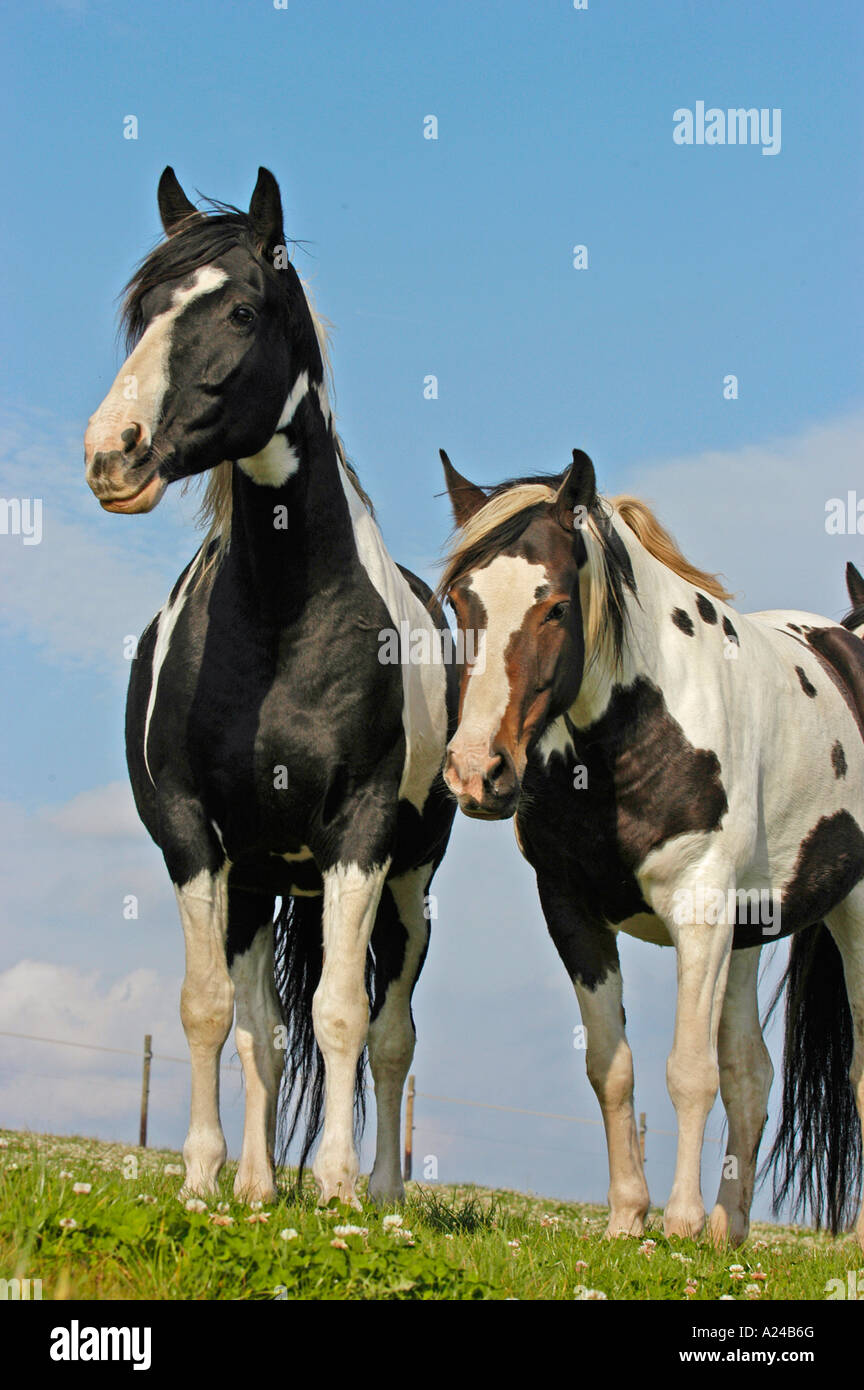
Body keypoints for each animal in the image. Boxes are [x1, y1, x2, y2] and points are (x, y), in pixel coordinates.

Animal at [83, 166, 458, 1208]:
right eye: (143, 315)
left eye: (242, 310)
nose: (112, 454)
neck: (287, 617)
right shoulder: (193, 838)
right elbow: (216, 1012)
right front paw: (206, 1182)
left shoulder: (361, 841)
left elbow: (342, 1018)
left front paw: (333, 1188)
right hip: (257, 883)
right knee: (264, 1030)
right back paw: (255, 1184)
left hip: (408, 888)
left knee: (391, 1036)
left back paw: (383, 1196)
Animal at [437, 446, 864, 1248]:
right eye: (459, 605)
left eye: (555, 606)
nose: (478, 772)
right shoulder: (573, 913)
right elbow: (614, 1068)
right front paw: (628, 1219)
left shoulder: (698, 913)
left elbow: (688, 1071)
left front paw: (680, 1221)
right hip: (747, 935)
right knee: (751, 1073)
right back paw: (730, 1229)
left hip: (849, 917)